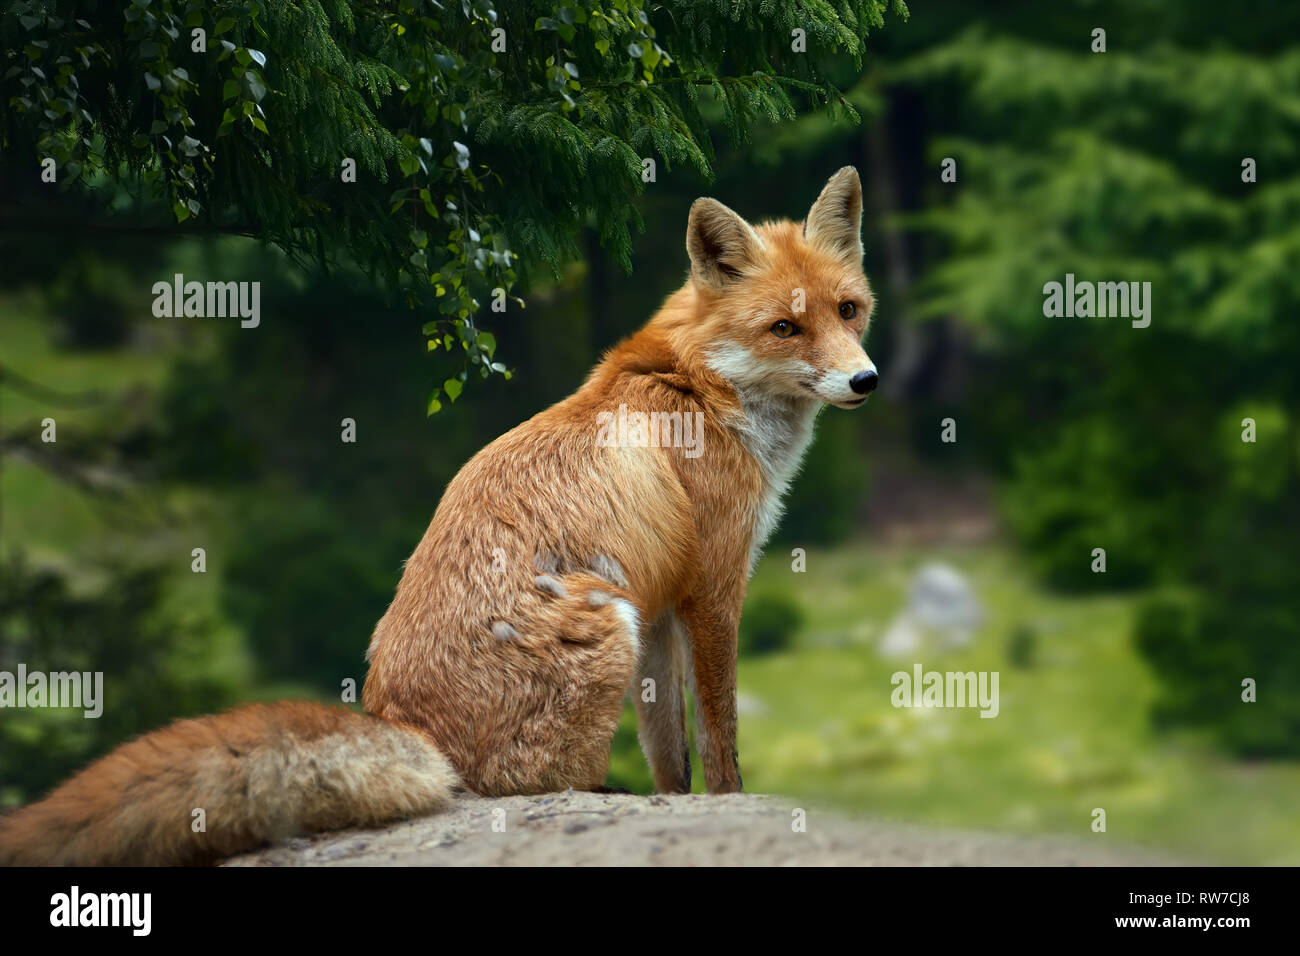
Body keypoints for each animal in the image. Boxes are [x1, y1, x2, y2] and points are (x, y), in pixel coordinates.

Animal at [0, 167, 879, 865]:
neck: (699, 385)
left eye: (849, 310)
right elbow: (721, 744)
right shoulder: (712, 591)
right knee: (526, 786)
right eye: (785, 327)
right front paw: (729, 804)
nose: (867, 381)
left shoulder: (666, 607)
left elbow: (672, 757)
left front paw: (678, 804)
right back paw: (594, 795)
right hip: (607, 623)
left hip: (628, 621)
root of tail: (405, 723)